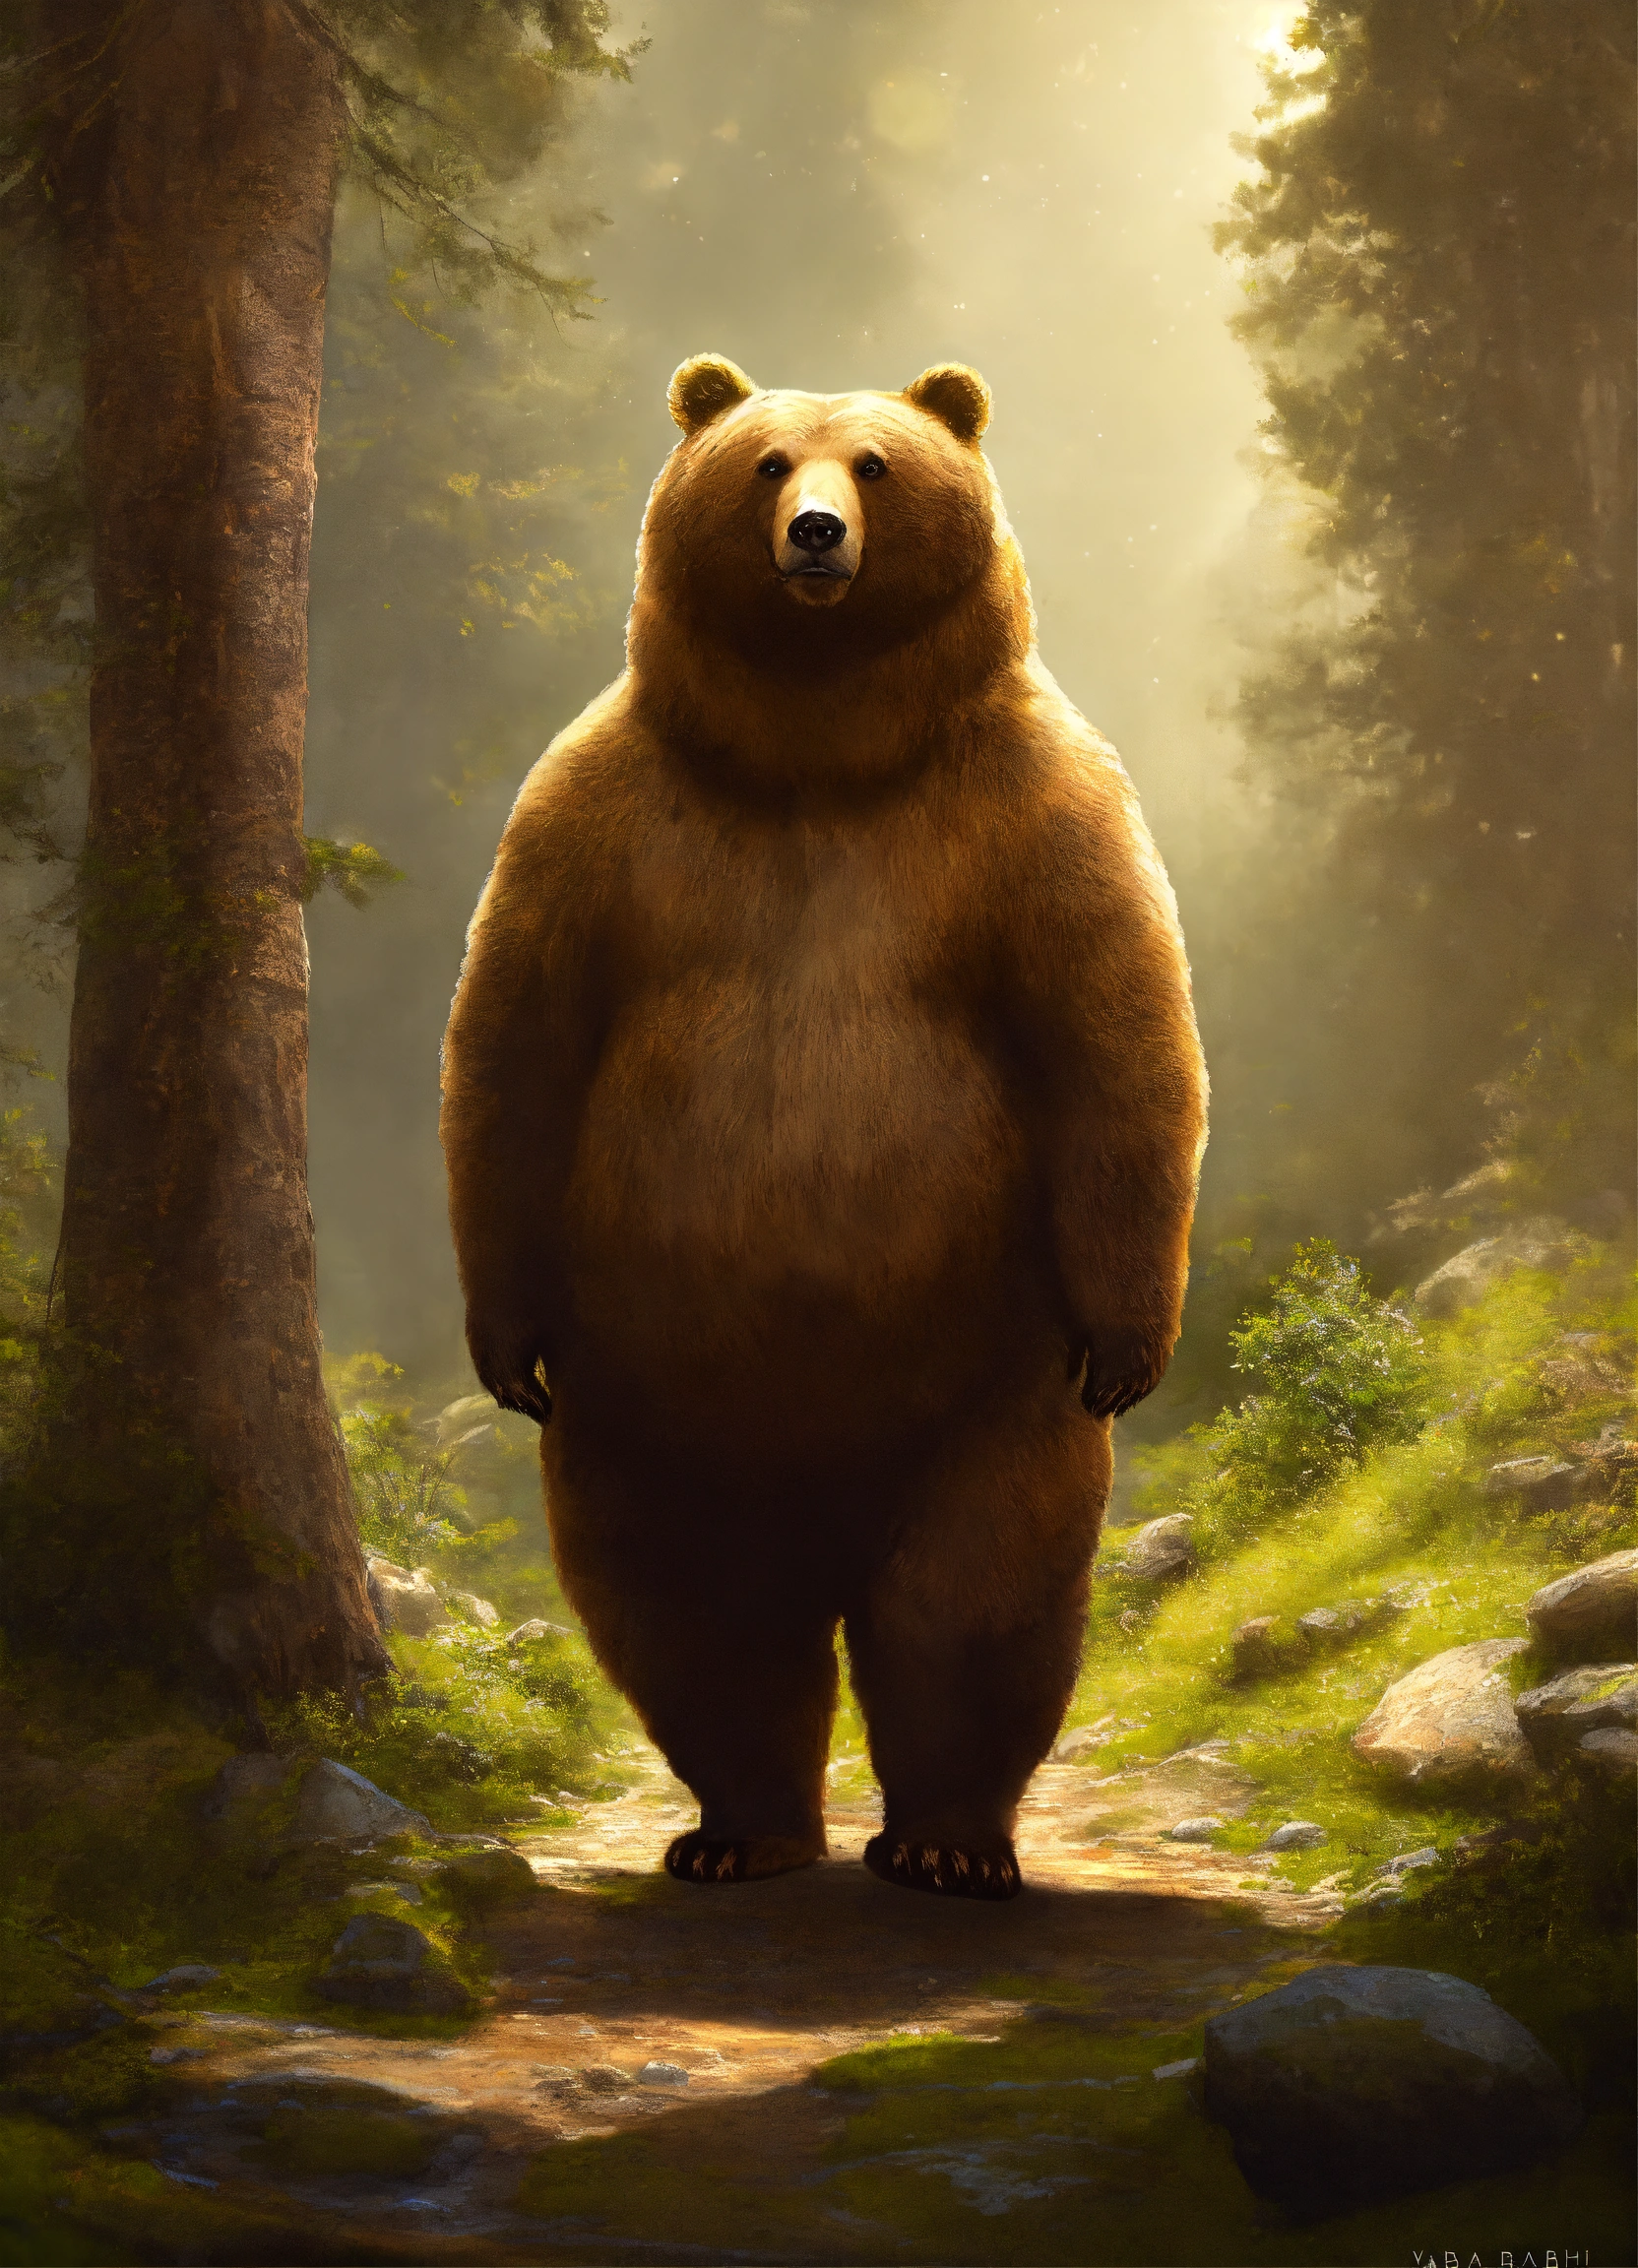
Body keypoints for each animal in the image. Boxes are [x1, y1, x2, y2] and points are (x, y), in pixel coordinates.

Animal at [441, 355, 1207, 1899]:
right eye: (761, 462)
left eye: (875, 465)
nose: (812, 535)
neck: (819, 747)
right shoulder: (599, 814)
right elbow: (514, 1038)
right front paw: (498, 1350)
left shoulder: (1031, 804)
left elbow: (1118, 1028)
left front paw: (1136, 1344)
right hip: (647, 1384)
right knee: (690, 1601)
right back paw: (740, 1832)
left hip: (987, 1367)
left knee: (978, 1584)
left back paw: (948, 1843)